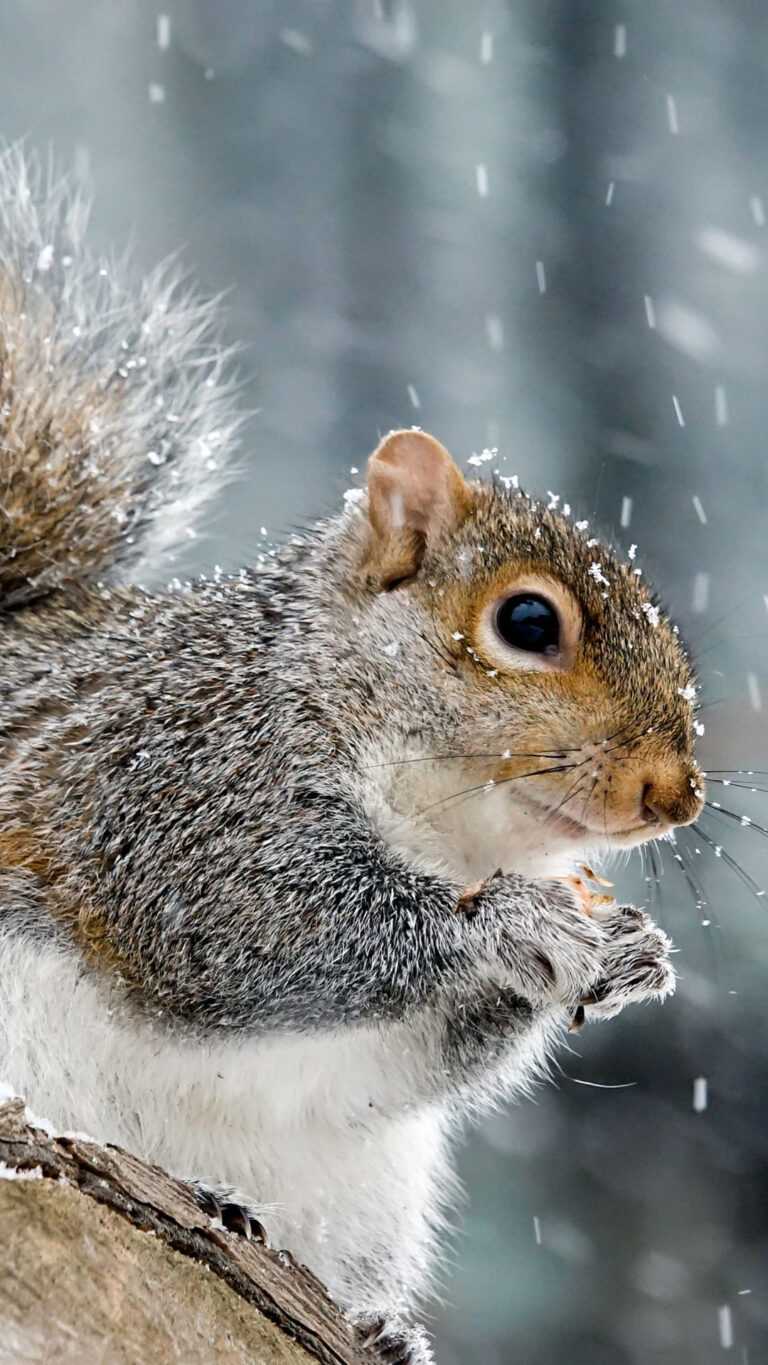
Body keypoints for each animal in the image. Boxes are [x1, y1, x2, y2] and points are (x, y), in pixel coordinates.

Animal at [0, 145, 704, 1364]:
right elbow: (253, 928)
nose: (680, 794)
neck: (443, 822)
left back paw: (378, 1326)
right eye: (528, 622)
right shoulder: (173, 781)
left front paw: (630, 952)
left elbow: (420, 1060)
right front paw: (503, 926)